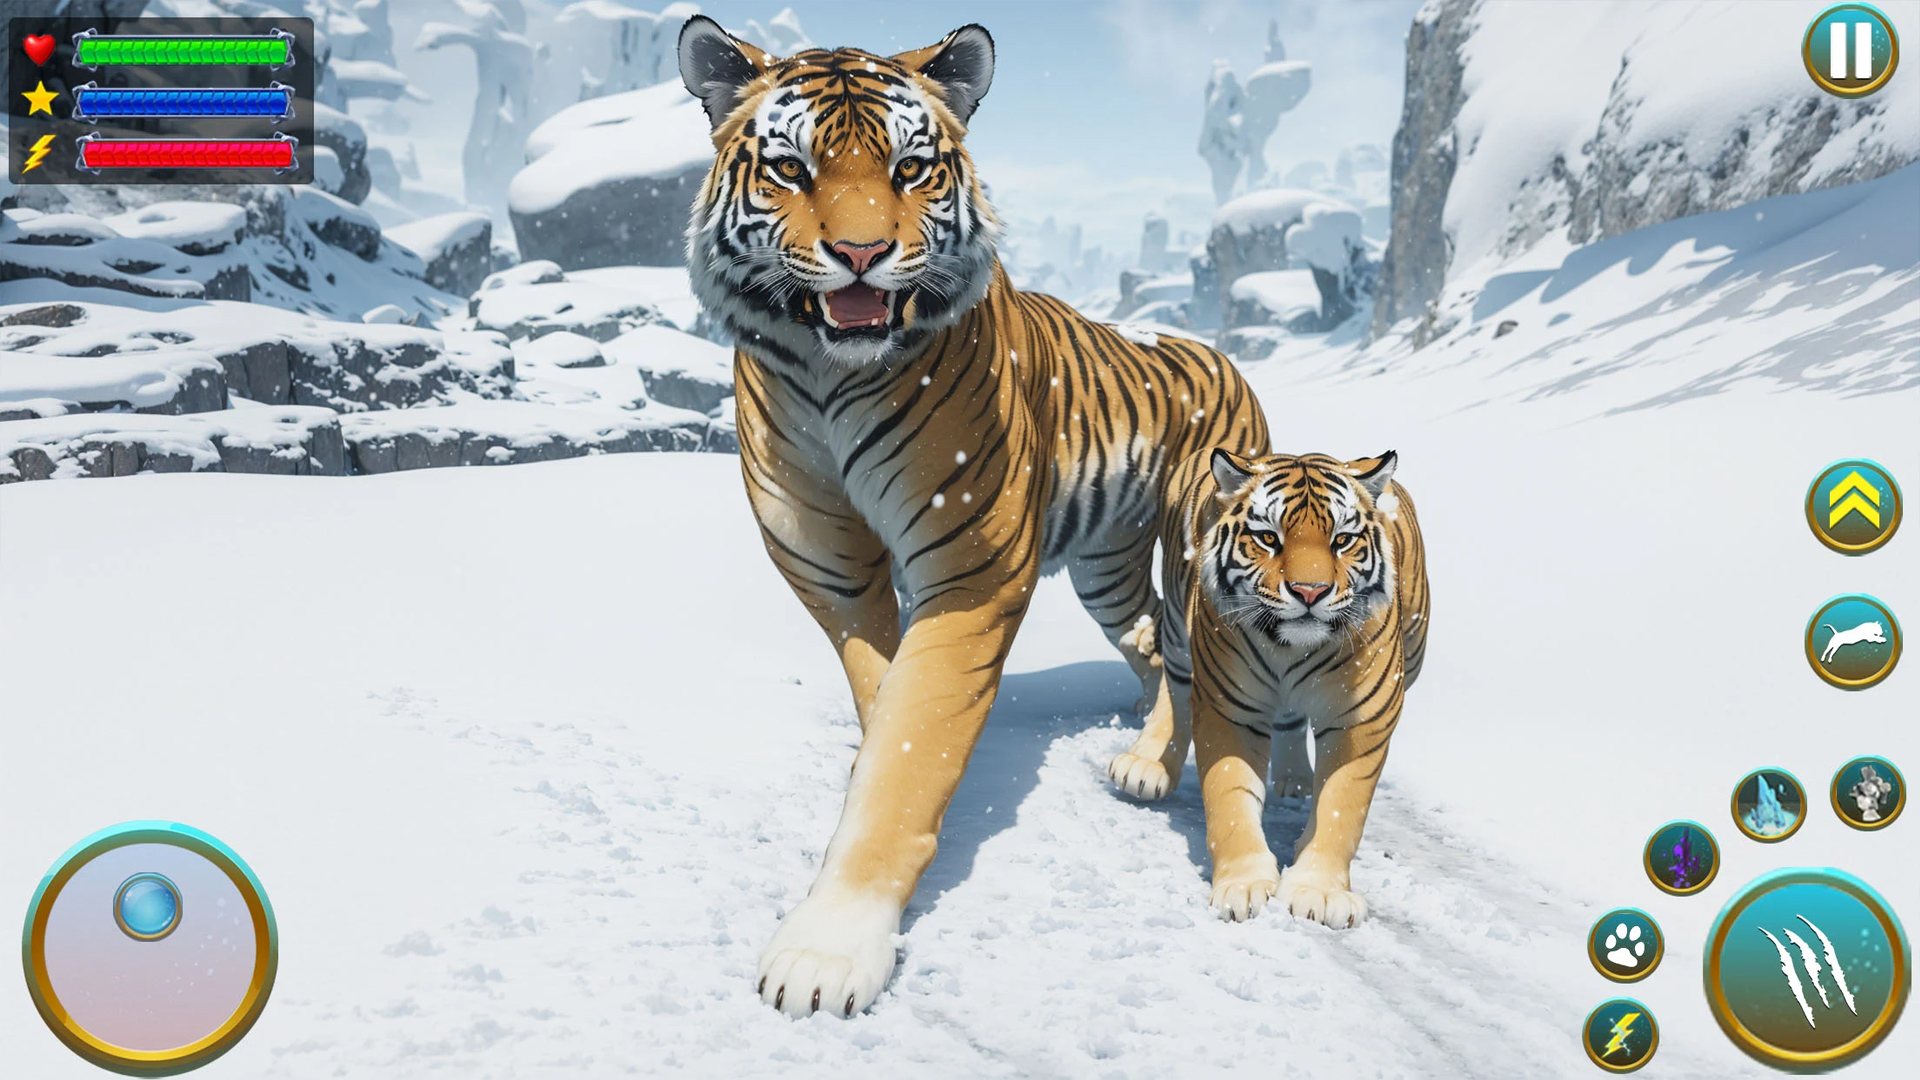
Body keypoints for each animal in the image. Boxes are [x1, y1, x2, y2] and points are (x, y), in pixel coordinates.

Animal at [676, 17, 1268, 1016]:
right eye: (792, 169)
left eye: (910, 168)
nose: (862, 254)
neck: (829, 376)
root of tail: (1220, 354)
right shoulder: (831, 570)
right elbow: (885, 703)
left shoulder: (971, 569)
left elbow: (909, 751)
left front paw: (827, 952)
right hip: (1107, 570)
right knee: (1148, 639)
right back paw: (1143, 742)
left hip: (1193, 557)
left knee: (1185, 652)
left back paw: (1150, 763)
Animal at [1109, 449, 1429, 928]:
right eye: (1268, 538)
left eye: (1341, 540)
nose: (1310, 591)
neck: (1290, 648)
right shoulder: (1230, 709)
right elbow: (1231, 800)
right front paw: (1242, 887)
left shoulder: (1361, 718)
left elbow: (1341, 807)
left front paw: (1319, 891)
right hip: (1179, 629)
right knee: (1174, 685)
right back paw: (1144, 765)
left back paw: (1295, 780)